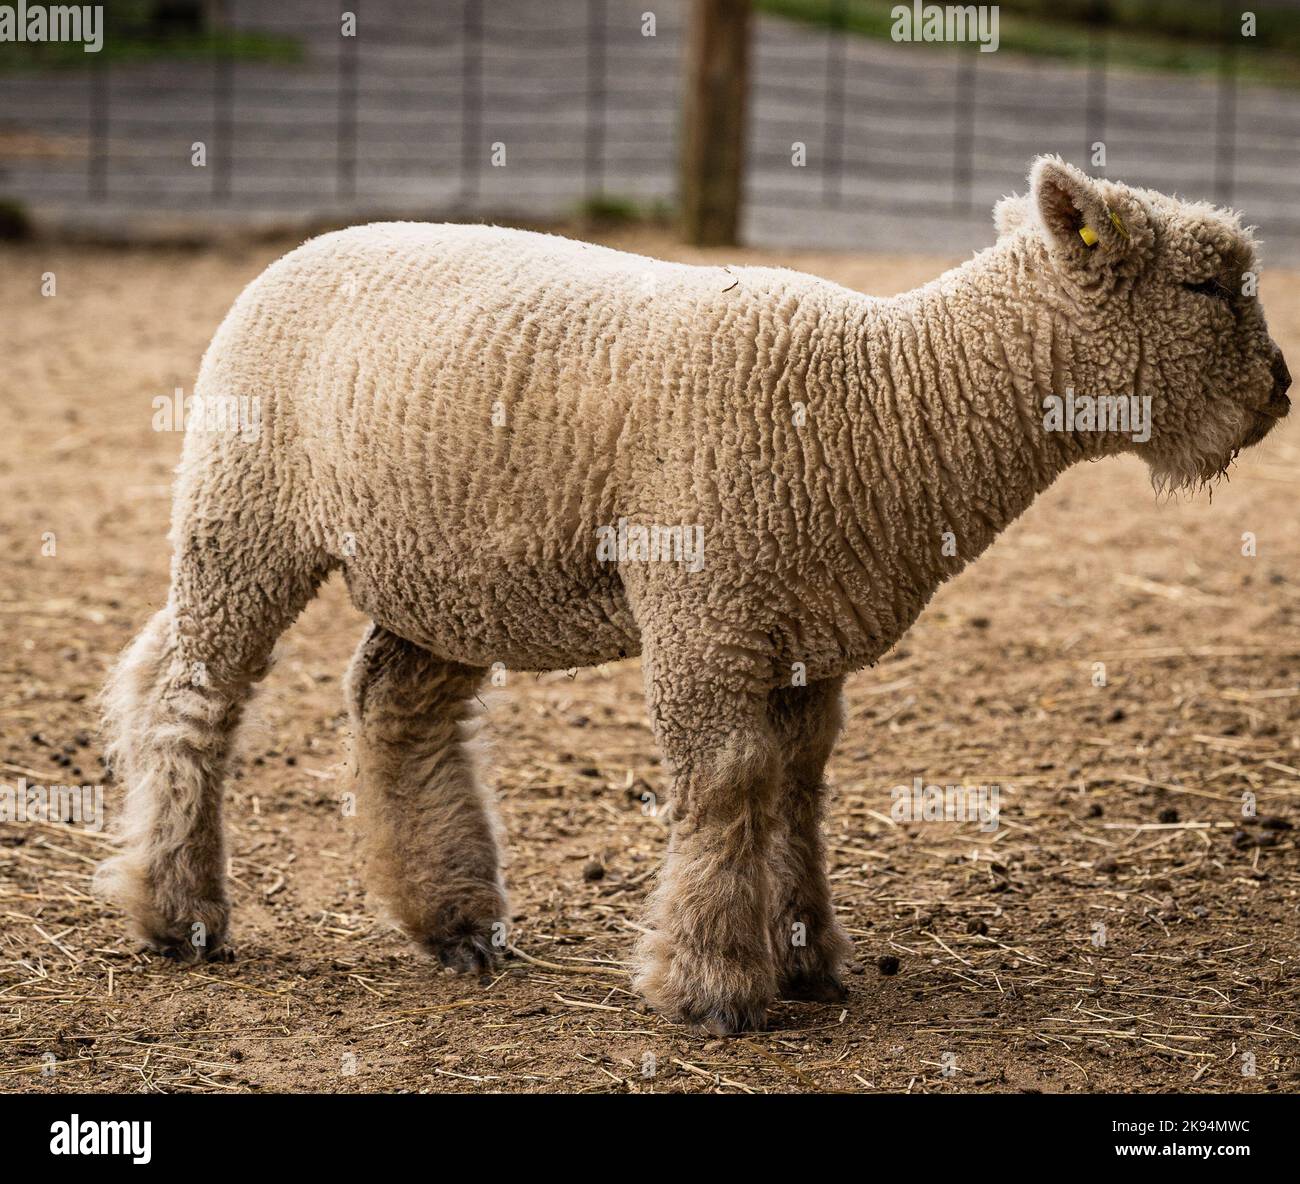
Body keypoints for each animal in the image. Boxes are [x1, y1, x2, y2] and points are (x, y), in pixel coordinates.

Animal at [96, 157, 1291, 1034]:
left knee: (395, 705)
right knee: (192, 688)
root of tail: (301, 250)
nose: (1280, 392)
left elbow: (796, 788)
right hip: (244, 508)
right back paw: (178, 911)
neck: (895, 401)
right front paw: (714, 984)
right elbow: (728, 783)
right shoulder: (703, 607)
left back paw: (454, 922)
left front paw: (806, 955)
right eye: (1201, 286)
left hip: (445, 564)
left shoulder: (802, 635)